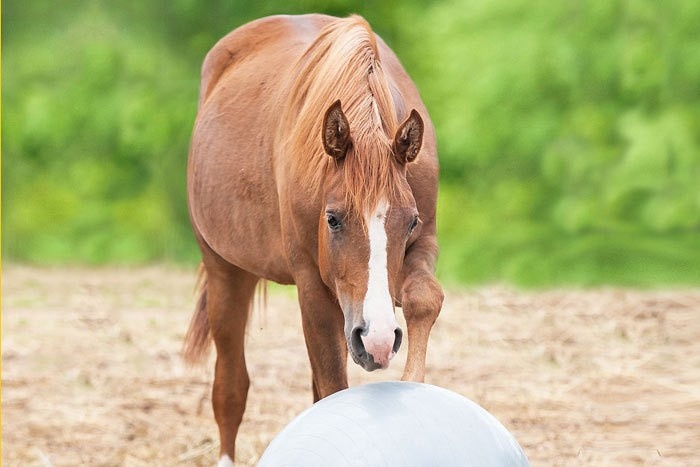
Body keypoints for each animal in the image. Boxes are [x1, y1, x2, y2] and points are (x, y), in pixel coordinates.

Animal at [183, 14, 444, 465]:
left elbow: (424, 299)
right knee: (230, 388)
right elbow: (331, 386)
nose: (377, 340)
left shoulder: (423, 245)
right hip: (226, 271)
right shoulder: (313, 288)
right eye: (333, 219)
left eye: (410, 222)